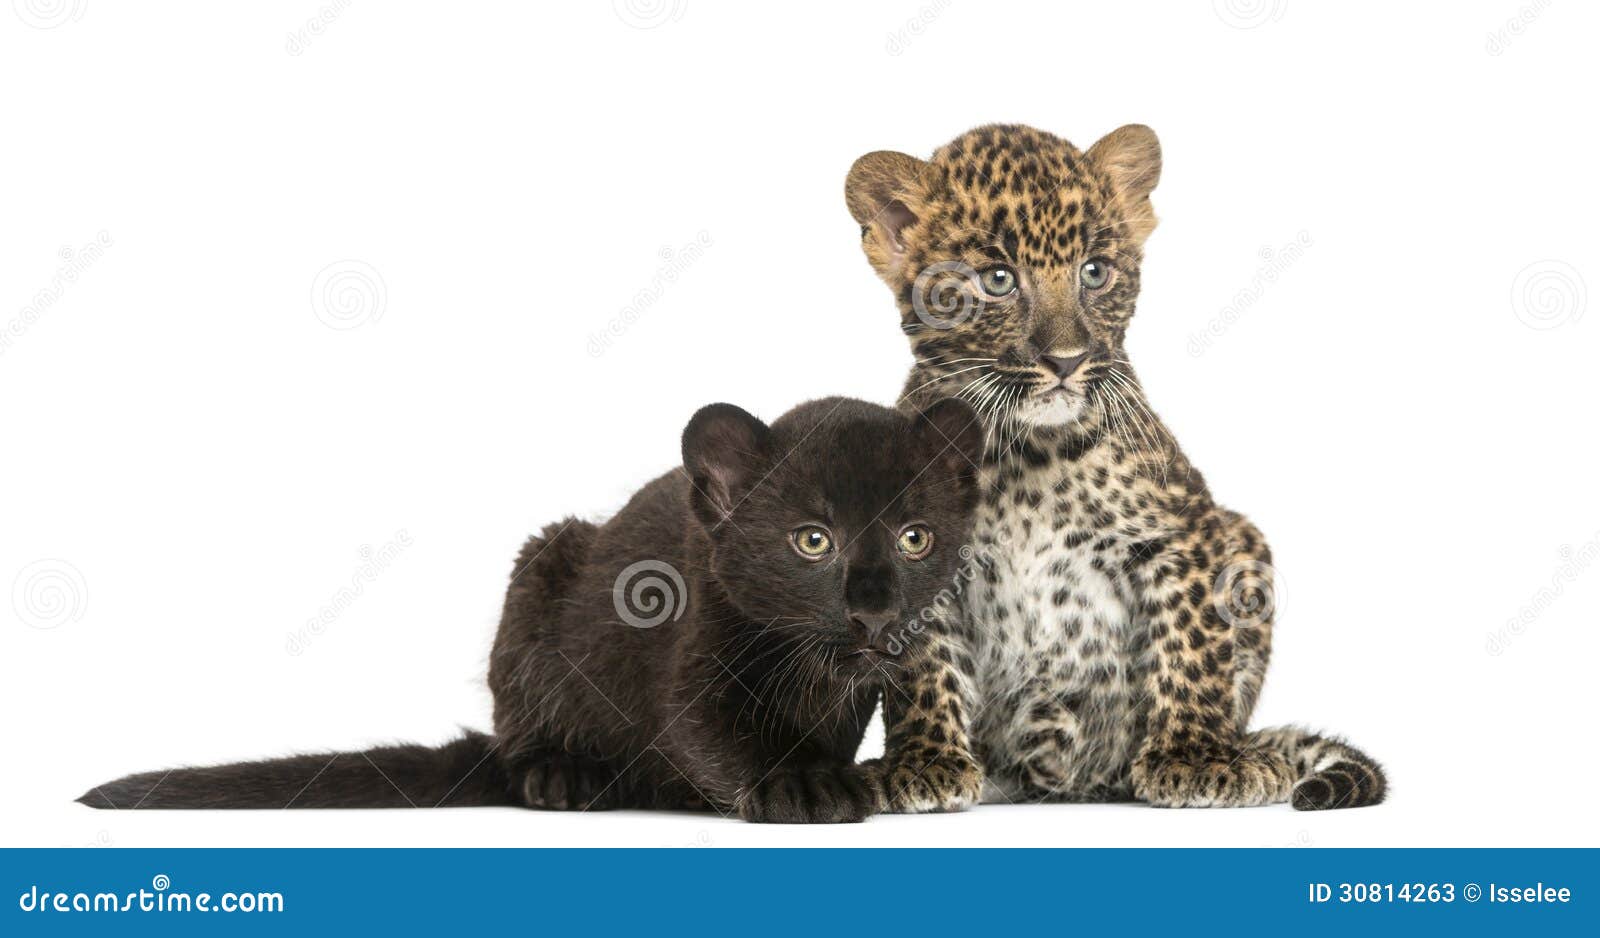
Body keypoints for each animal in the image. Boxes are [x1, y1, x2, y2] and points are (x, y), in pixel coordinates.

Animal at [843, 123, 1387, 810]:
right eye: (998, 279)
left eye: (1095, 272)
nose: (1067, 360)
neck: (1029, 454)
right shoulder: (917, 552)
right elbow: (921, 670)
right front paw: (925, 760)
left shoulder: (1183, 532)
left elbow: (1192, 646)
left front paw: (1195, 756)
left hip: (1244, 539)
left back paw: (1242, 755)